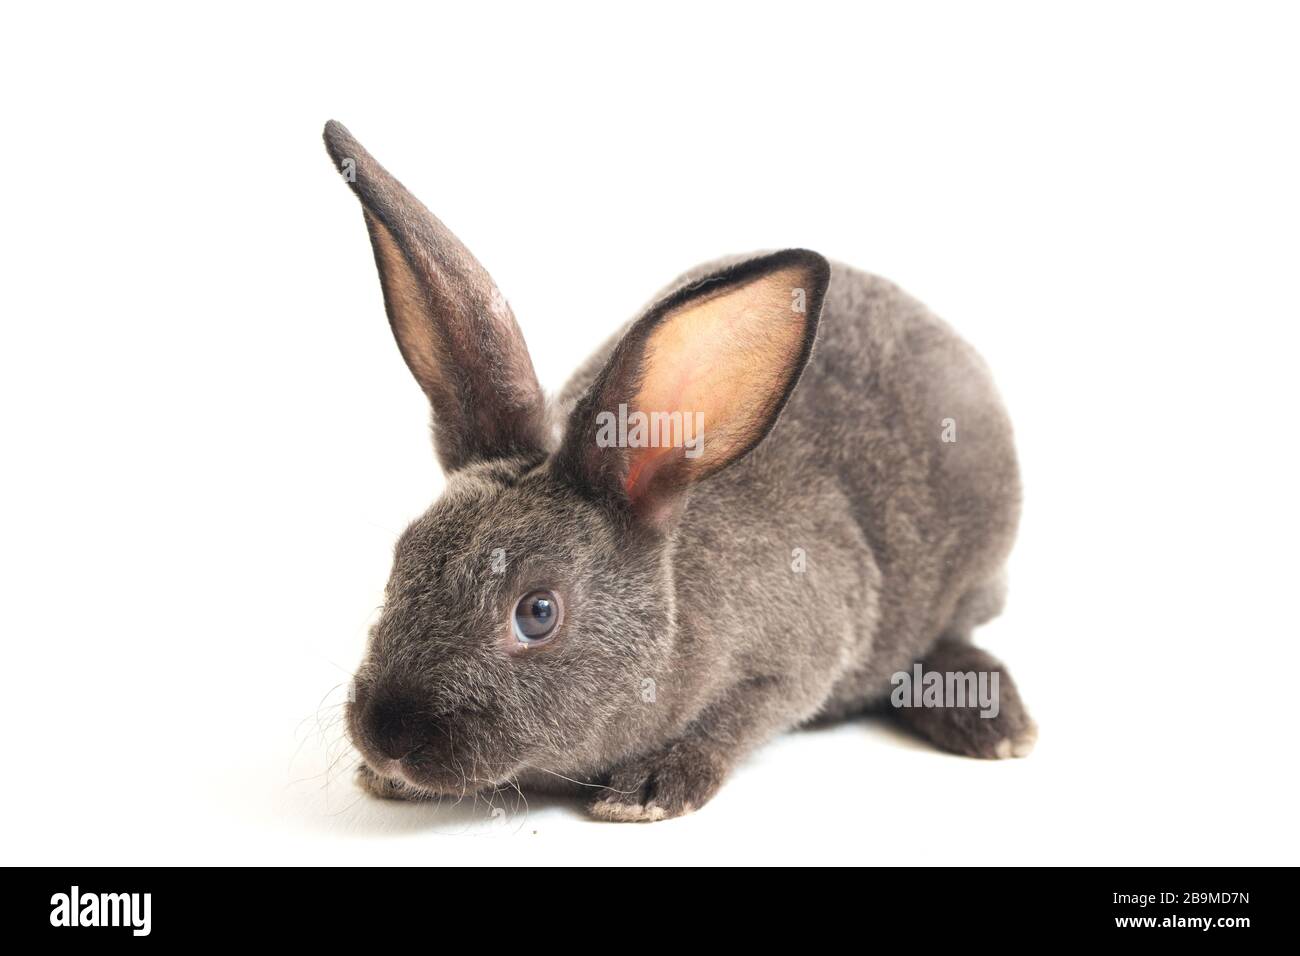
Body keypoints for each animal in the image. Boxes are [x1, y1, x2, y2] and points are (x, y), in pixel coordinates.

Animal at [323, 120, 1034, 822]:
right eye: (400, 565)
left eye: (538, 612)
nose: (387, 737)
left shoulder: (798, 658)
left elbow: (737, 720)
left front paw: (651, 786)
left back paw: (991, 721)